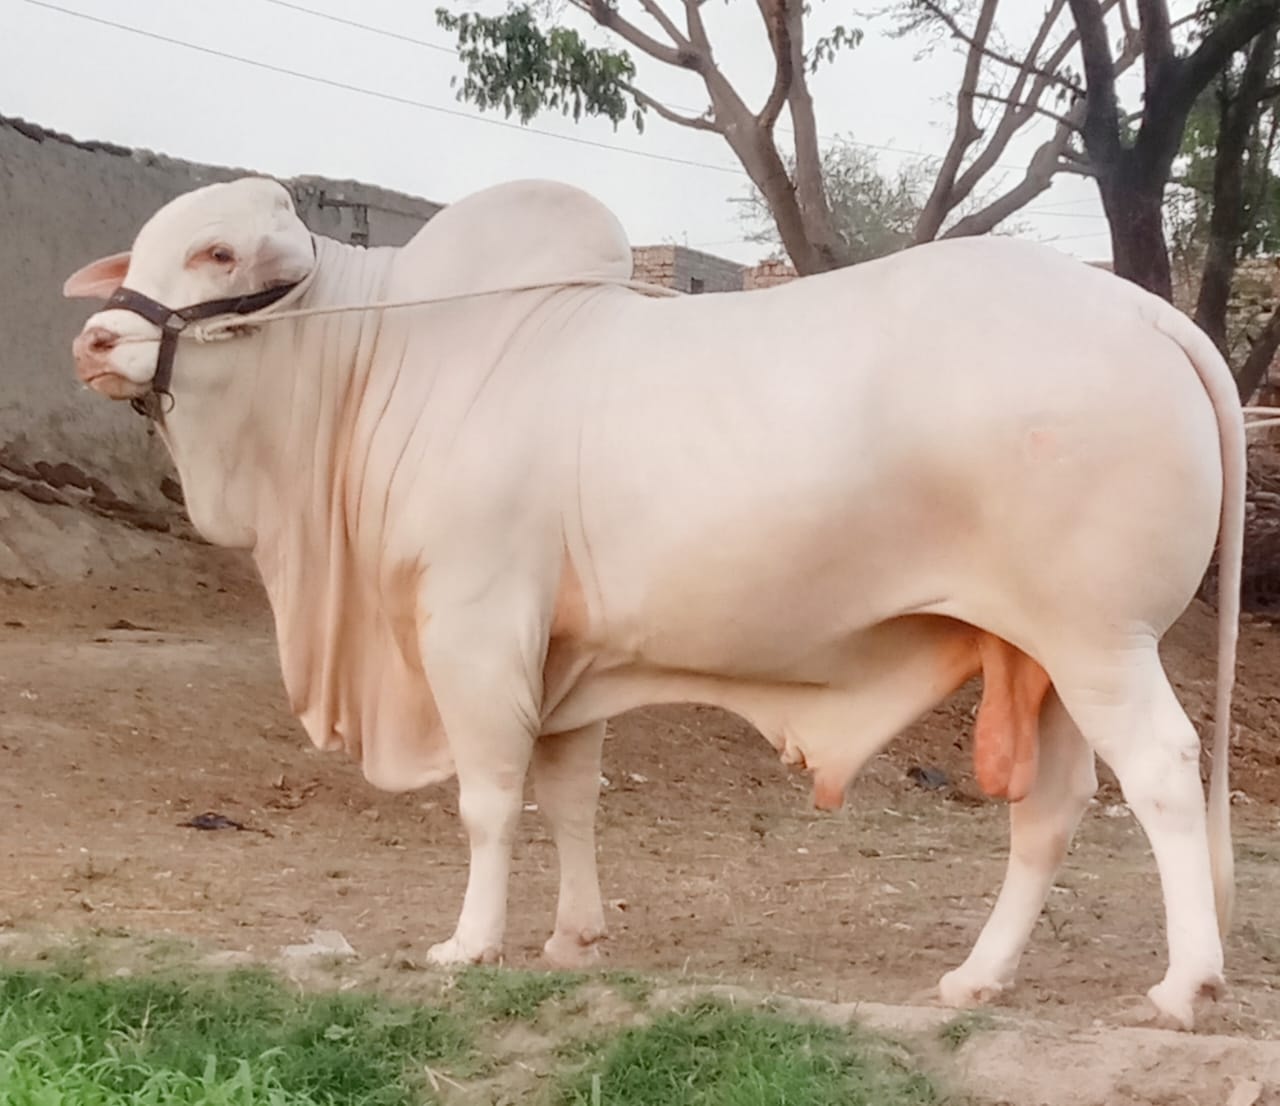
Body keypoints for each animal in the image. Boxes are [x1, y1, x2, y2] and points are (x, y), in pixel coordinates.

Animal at [62, 175, 1244, 1031]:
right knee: (1050, 809)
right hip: (1038, 652)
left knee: (1161, 773)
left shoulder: (475, 629)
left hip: (1100, 639)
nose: (95, 342)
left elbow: (489, 799)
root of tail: (1152, 316)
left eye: (216, 253)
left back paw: (1185, 985)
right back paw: (978, 978)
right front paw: (571, 939)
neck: (382, 357)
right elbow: (570, 796)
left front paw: (470, 944)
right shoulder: (562, 655)